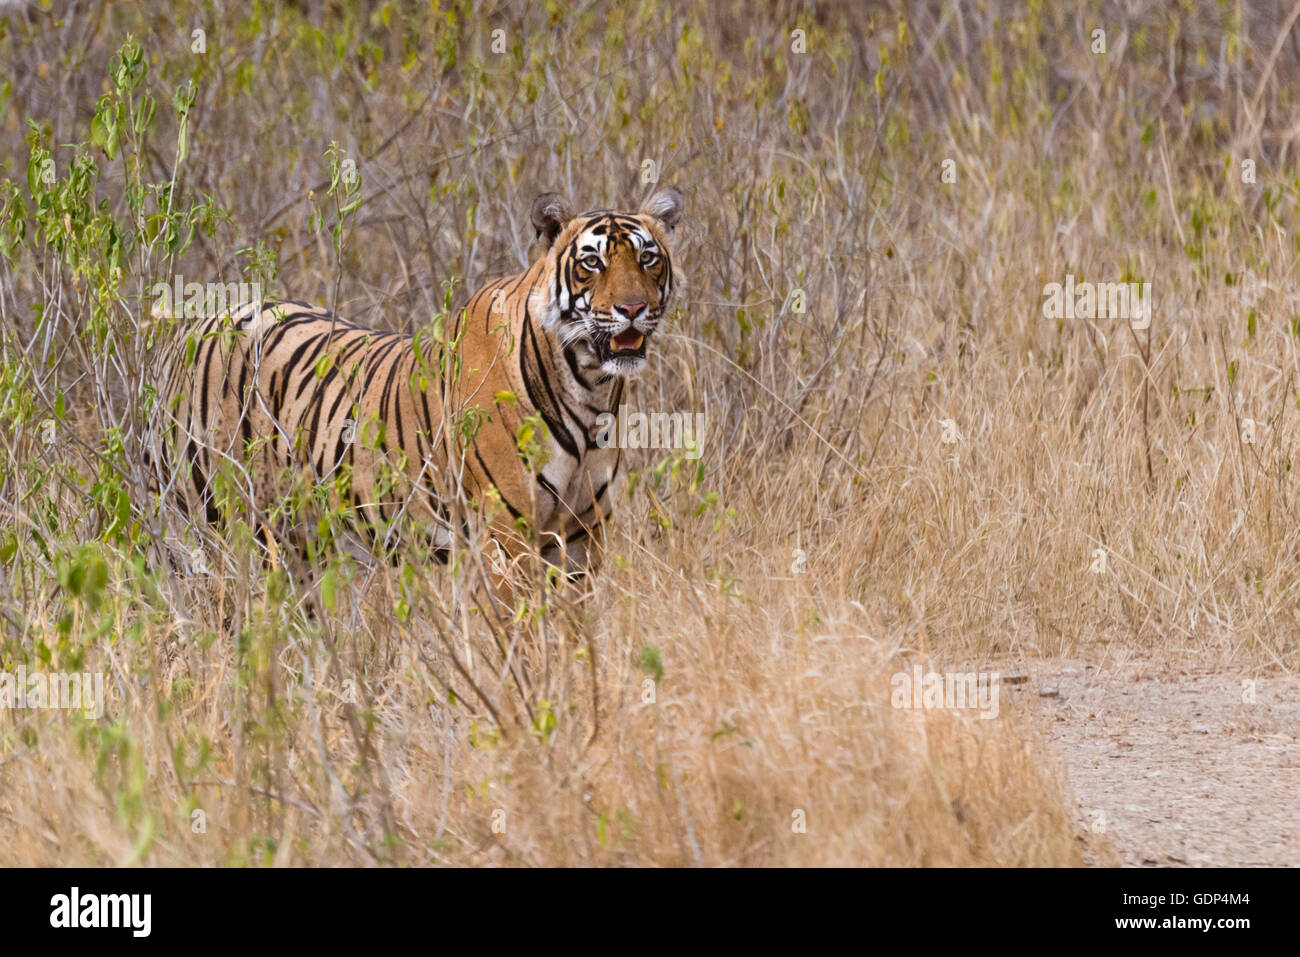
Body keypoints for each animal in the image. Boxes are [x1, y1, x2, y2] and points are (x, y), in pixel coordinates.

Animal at [153, 188, 684, 593]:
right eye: (592, 263)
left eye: (647, 258)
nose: (632, 309)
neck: (589, 387)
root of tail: (196, 323)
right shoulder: (508, 534)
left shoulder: (580, 537)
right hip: (219, 526)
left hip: (300, 548)